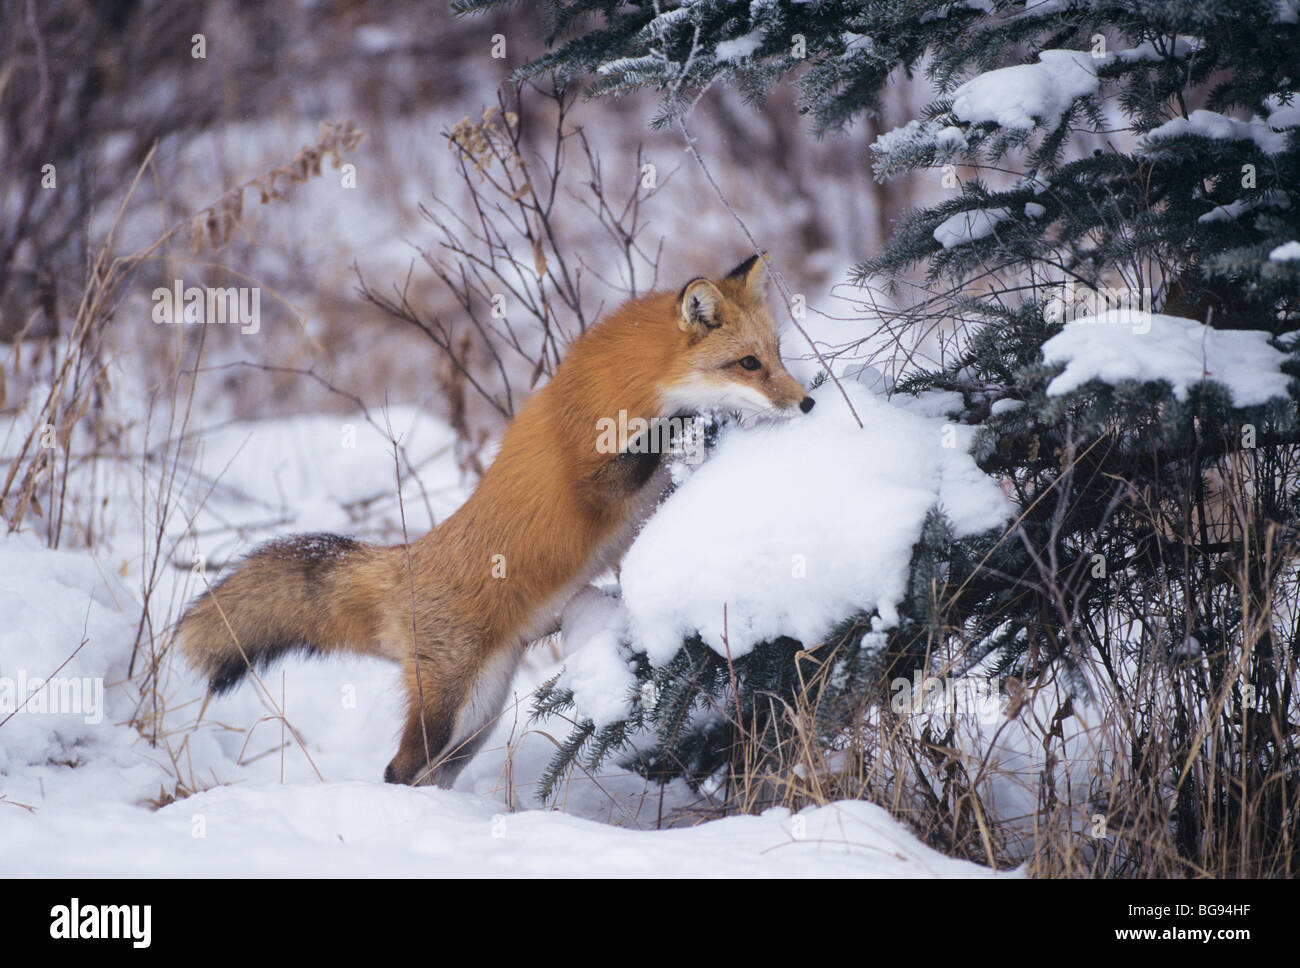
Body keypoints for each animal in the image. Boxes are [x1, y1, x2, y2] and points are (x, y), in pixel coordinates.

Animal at [177, 253, 814, 787]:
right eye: (748, 363)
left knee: (433, 772)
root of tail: (405, 558)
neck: (633, 380)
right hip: (451, 705)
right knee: (398, 770)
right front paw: (694, 417)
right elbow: (650, 442)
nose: (807, 403)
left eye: (778, 354)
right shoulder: (597, 478)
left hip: (477, 719)